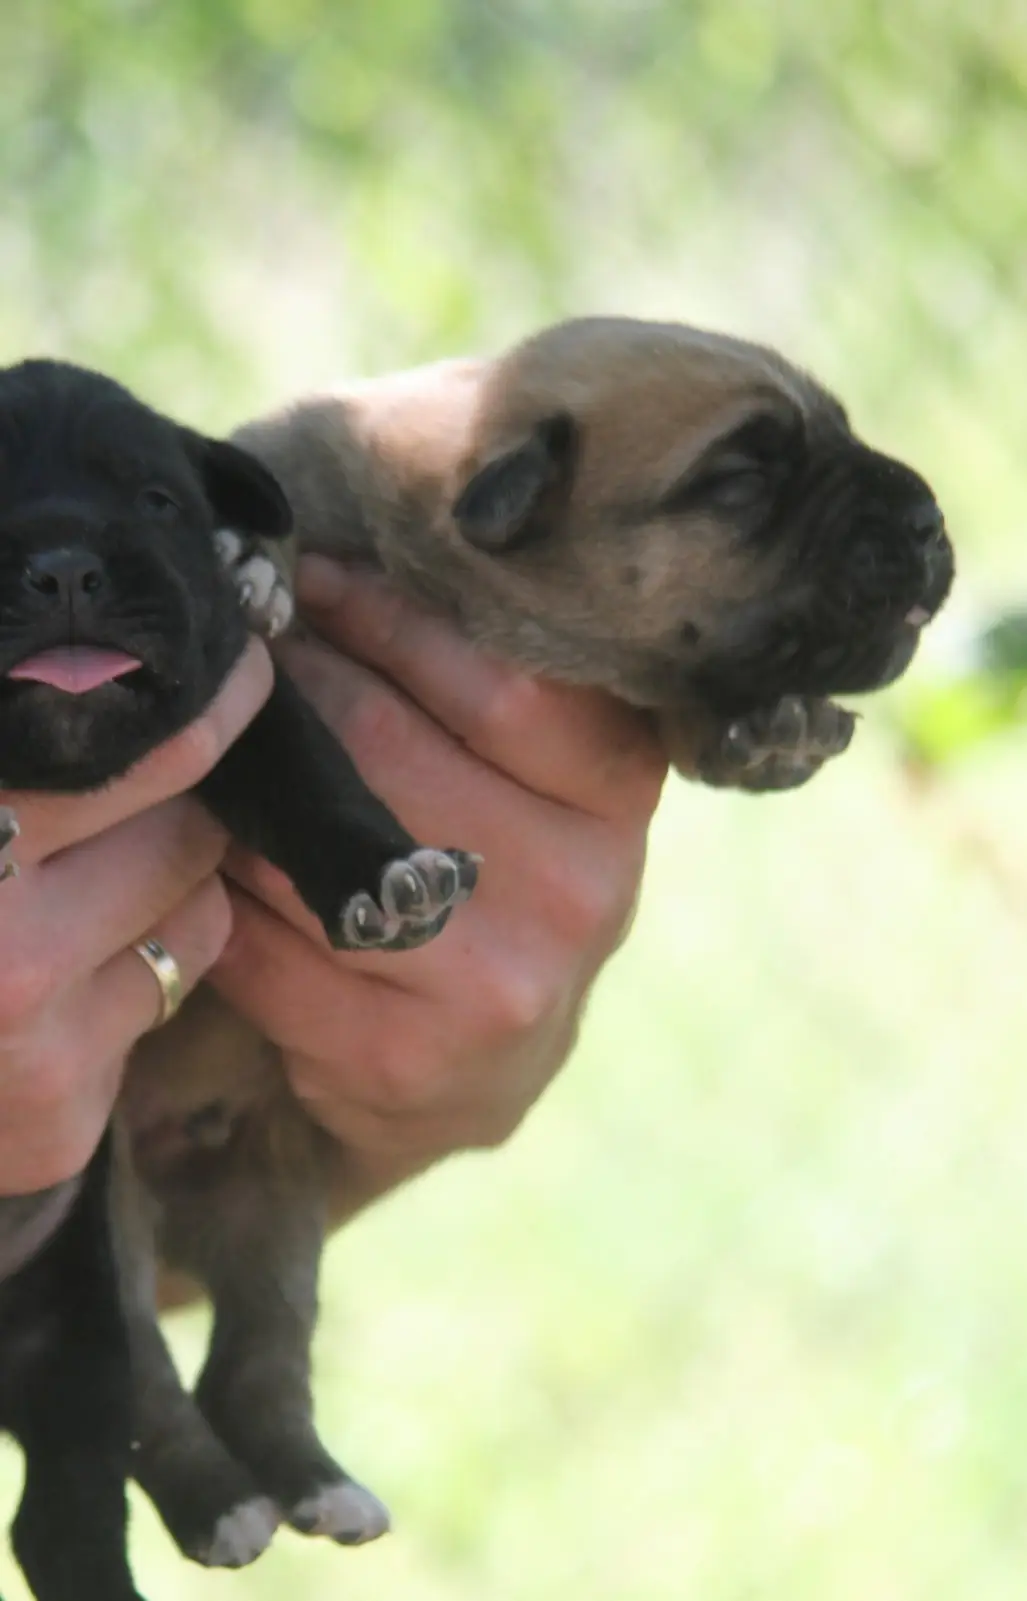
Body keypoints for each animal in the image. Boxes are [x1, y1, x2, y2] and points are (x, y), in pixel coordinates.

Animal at [0, 363, 477, 1601]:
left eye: (158, 500)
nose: (62, 566)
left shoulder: (243, 713)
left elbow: (315, 781)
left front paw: (391, 877)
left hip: (71, 1323)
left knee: (66, 1509)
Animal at [120, 318, 954, 1568]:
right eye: (742, 476)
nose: (929, 521)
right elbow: (266, 502)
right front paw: (248, 559)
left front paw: (768, 730)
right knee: (138, 1388)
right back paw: (220, 1502)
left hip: (273, 1206)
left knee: (255, 1362)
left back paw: (317, 1484)